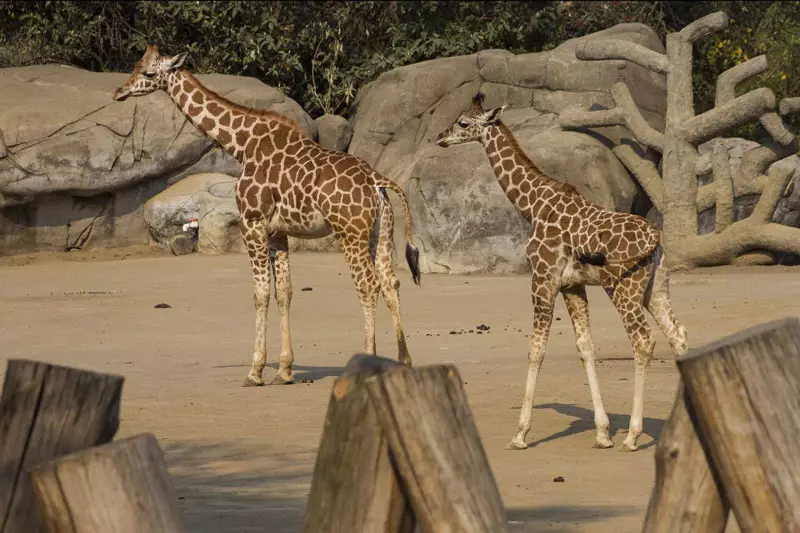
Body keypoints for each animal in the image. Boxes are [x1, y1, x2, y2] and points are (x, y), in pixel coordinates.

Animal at [116, 44, 424, 386]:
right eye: (136, 66)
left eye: (148, 73)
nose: (120, 91)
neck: (243, 145)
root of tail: (377, 181)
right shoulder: (279, 231)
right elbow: (284, 292)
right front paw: (285, 371)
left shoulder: (252, 221)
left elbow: (260, 293)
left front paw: (255, 371)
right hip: (380, 232)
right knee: (390, 283)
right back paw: (404, 361)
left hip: (350, 233)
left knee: (367, 285)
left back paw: (364, 366)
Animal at [434, 94, 692, 448]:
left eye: (463, 122)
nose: (440, 137)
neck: (531, 205)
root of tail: (655, 236)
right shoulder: (572, 285)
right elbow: (586, 347)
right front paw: (602, 433)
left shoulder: (542, 278)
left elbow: (536, 350)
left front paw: (520, 433)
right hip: (657, 287)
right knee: (677, 335)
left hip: (623, 288)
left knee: (643, 340)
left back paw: (633, 435)